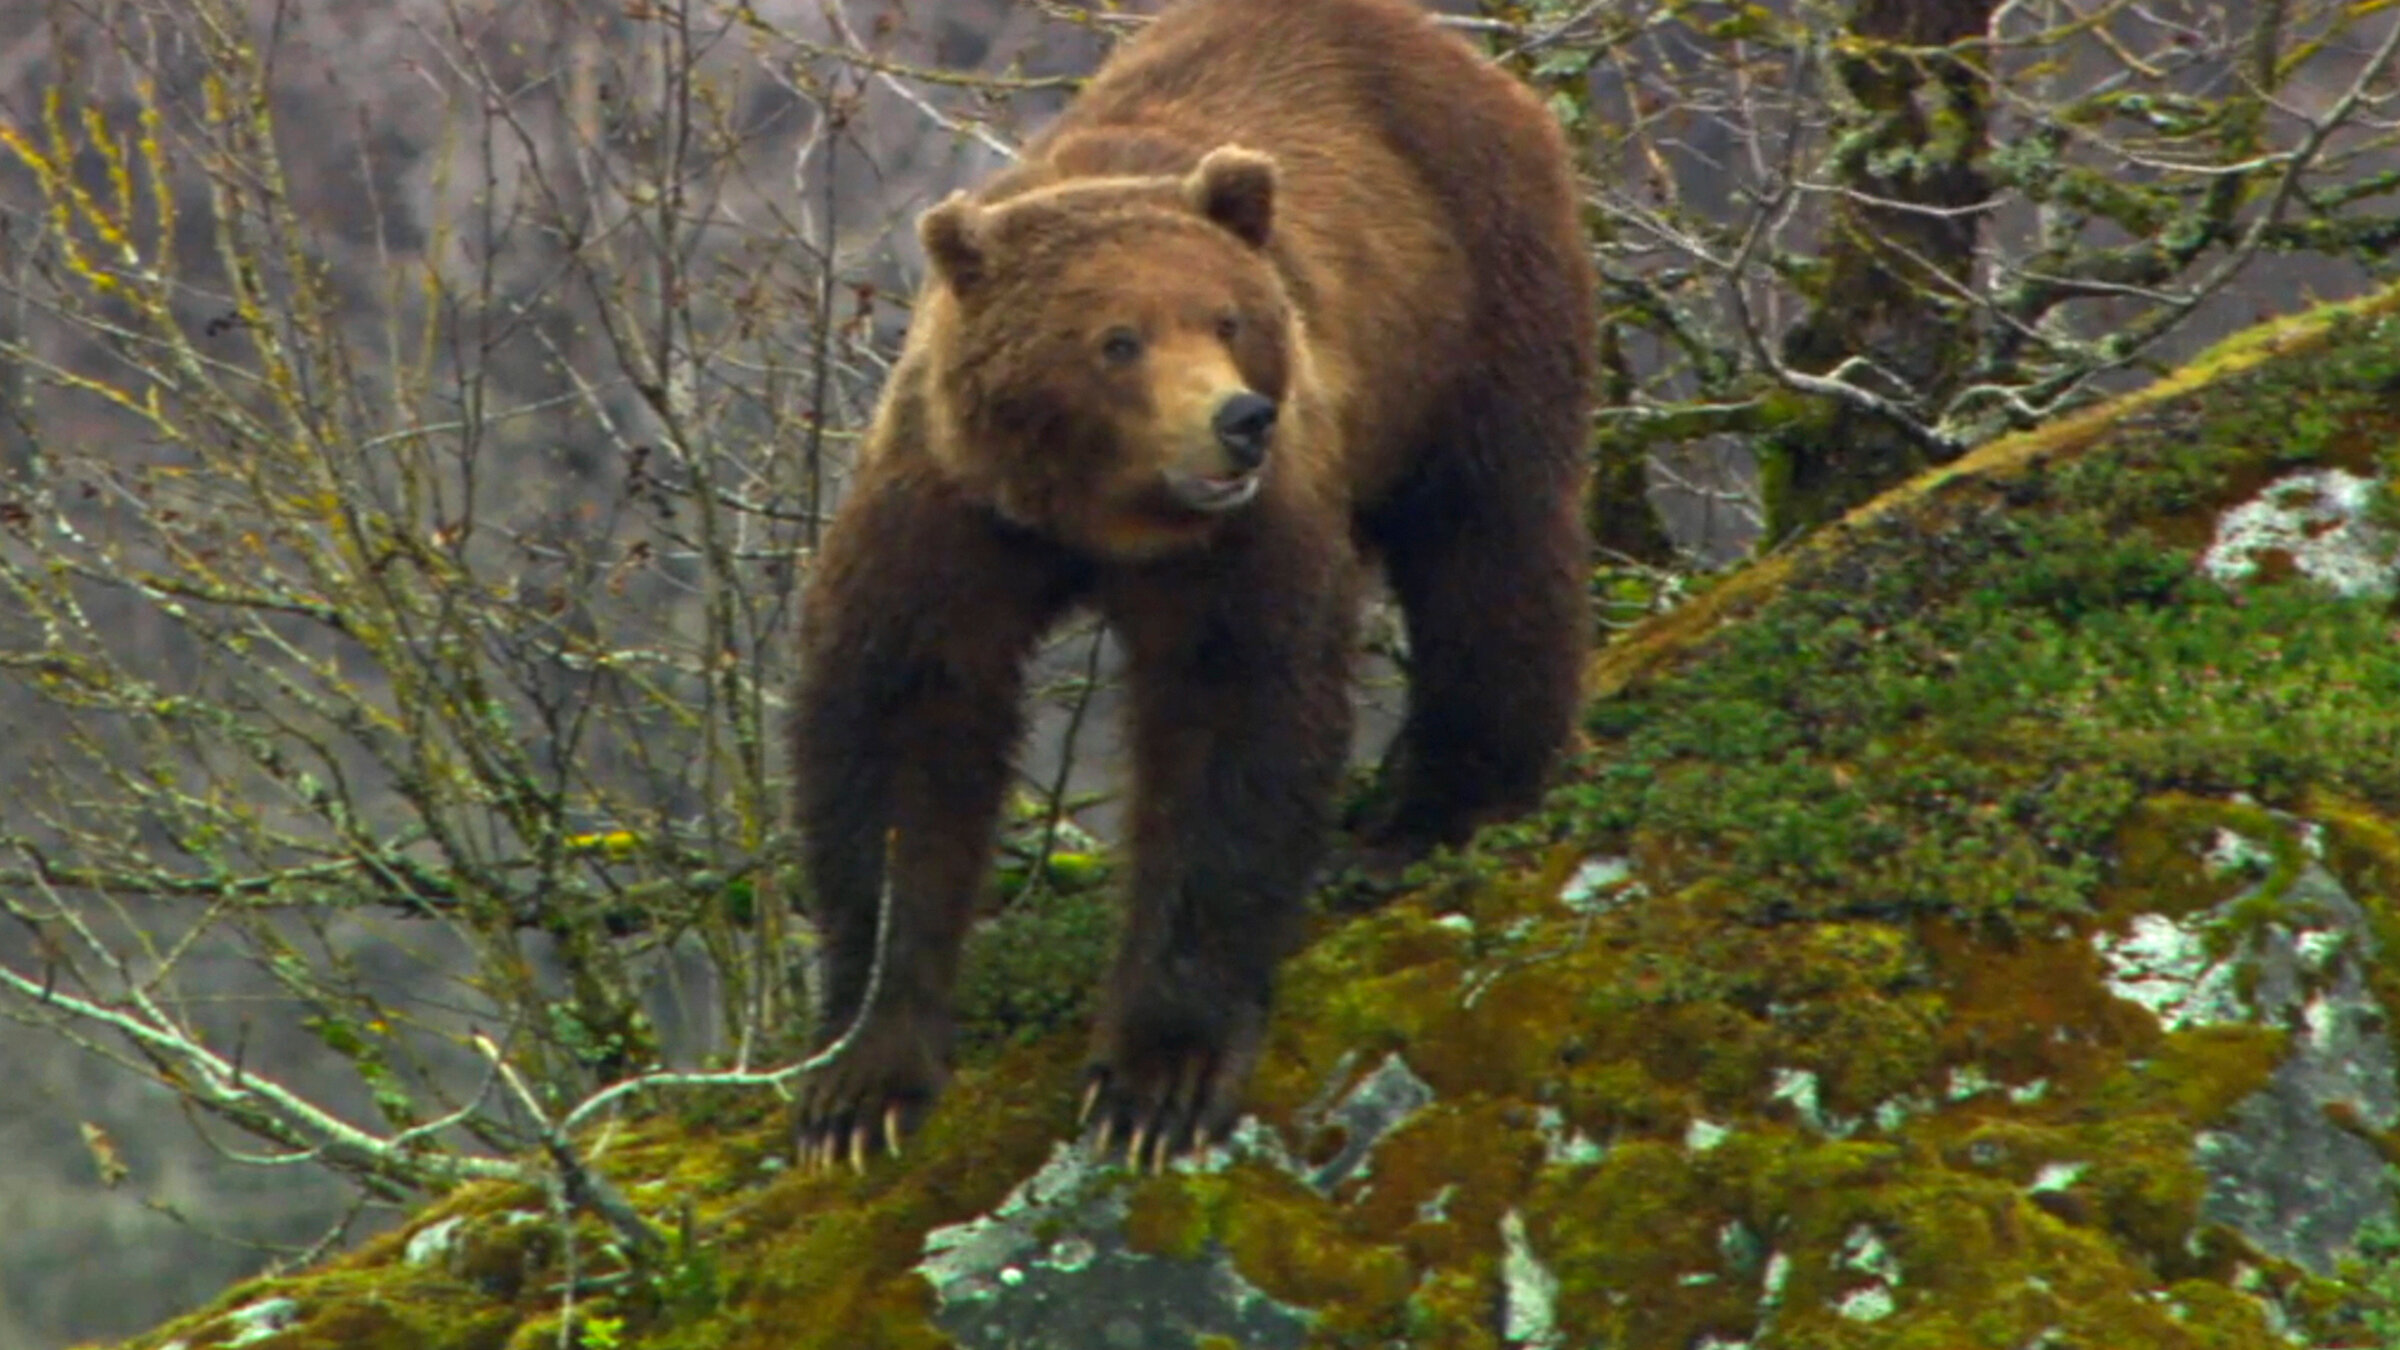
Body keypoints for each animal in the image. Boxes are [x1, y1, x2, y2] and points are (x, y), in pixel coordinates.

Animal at [789, 0, 1594, 1171]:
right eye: (1116, 339)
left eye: (1227, 318)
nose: (1239, 420)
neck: (1096, 513)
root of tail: (1442, 48)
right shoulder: (950, 506)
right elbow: (904, 726)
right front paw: (860, 1085)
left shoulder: (1239, 541)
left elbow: (1229, 726)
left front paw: (1154, 1079)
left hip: (1475, 292)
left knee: (1488, 542)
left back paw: (1437, 809)